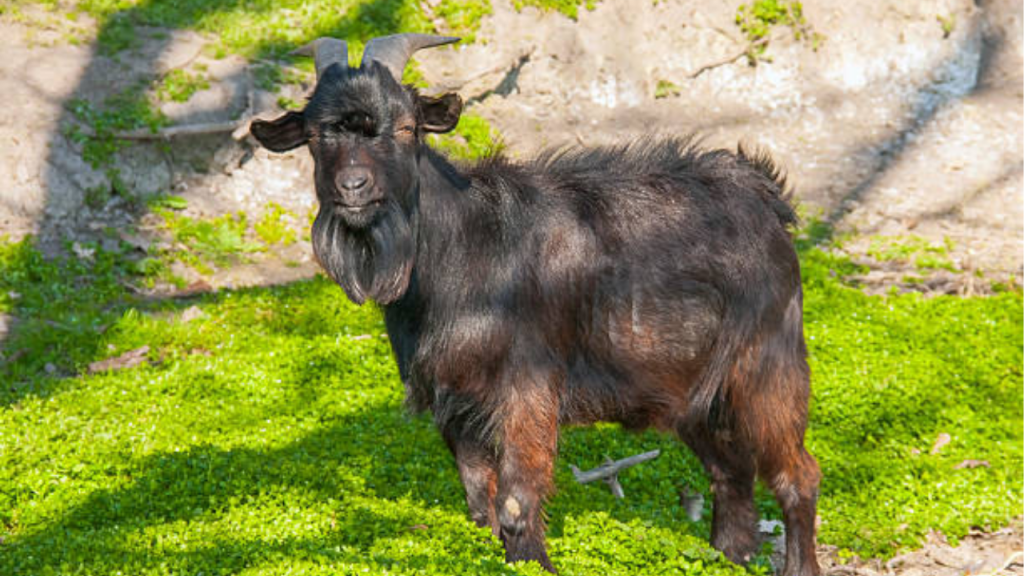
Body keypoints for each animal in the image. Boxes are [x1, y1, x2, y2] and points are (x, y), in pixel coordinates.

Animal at [250, 33, 821, 576]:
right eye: (315, 135)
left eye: (409, 127)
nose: (353, 188)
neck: (462, 249)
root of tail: (765, 196)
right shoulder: (455, 403)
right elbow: (478, 501)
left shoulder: (527, 388)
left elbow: (516, 499)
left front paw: (533, 562)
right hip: (690, 392)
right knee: (731, 471)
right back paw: (729, 556)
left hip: (770, 365)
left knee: (798, 473)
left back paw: (797, 564)